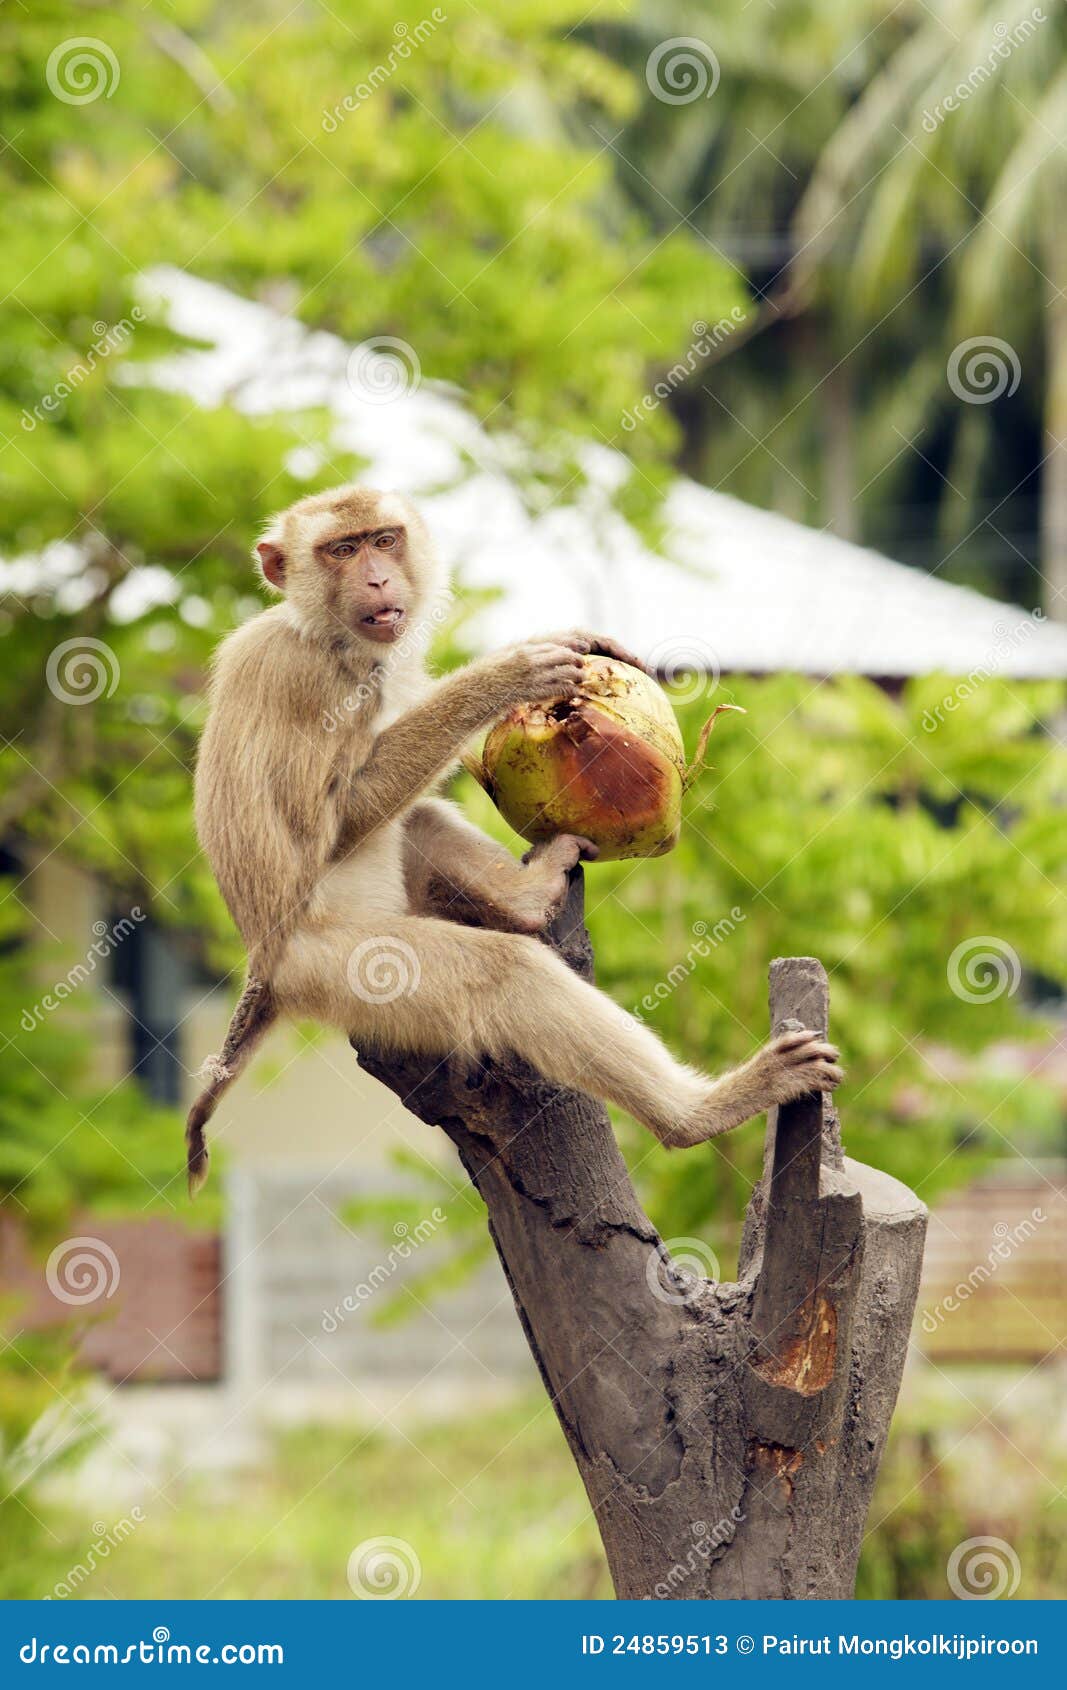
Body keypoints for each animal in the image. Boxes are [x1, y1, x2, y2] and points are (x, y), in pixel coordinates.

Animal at [186, 484, 841, 1194]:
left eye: (382, 540)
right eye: (341, 550)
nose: (377, 577)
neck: (324, 636)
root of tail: (266, 966)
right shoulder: (309, 680)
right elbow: (335, 818)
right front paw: (508, 674)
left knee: (419, 820)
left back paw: (528, 900)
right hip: (346, 968)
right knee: (504, 974)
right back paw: (697, 1114)